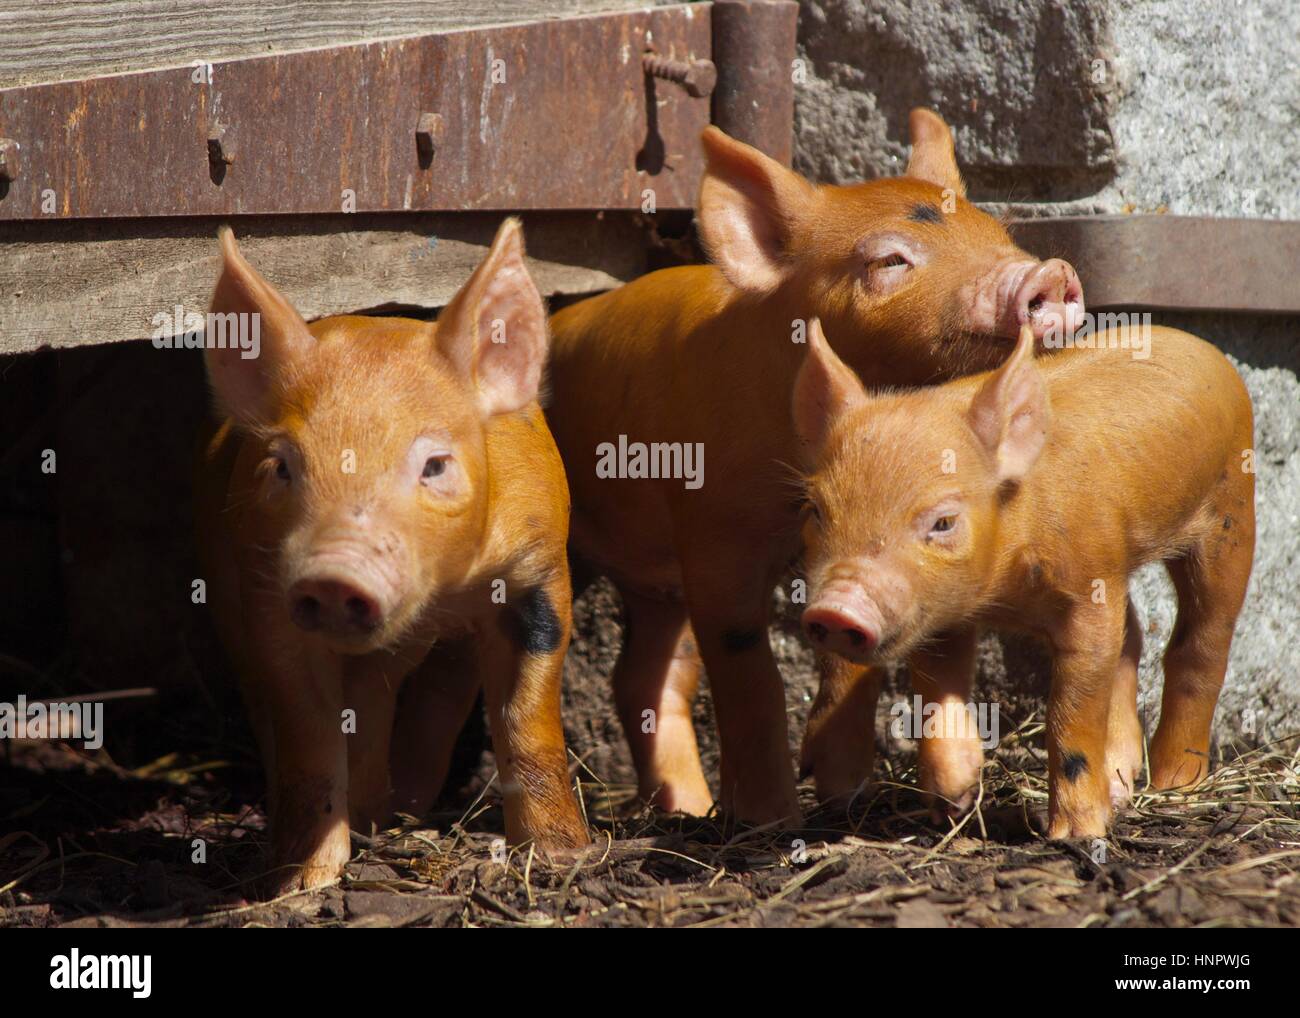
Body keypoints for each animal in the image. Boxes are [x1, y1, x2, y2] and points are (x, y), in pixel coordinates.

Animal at [194, 219, 588, 892]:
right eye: (282, 466)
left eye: (435, 464)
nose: (334, 573)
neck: (443, 590)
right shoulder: (264, 590)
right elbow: (309, 737)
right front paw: (302, 885)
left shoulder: (538, 566)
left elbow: (527, 715)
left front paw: (564, 859)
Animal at [545, 109, 1084, 825]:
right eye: (890, 259)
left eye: (998, 235)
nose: (1044, 273)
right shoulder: (715, 530)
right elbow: (749, 669)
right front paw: (774, 818)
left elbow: (858, 654)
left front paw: (855, 792)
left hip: (655, 584)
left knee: (645, 677)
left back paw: (690, 808)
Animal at [793, 318, 1255, 837]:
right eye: (814, 510)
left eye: (943, 522)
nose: (837, 608)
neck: (1005, 592)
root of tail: (1203, 348)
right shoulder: (943, 608)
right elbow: (937, 691)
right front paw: (954, 802)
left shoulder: (1089, 581)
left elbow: (1069, 712)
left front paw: (1076, 835)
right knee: (1132, 637)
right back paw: (1123, 790)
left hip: (1233, 507)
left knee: (1201, 642)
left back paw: (1176, 785)